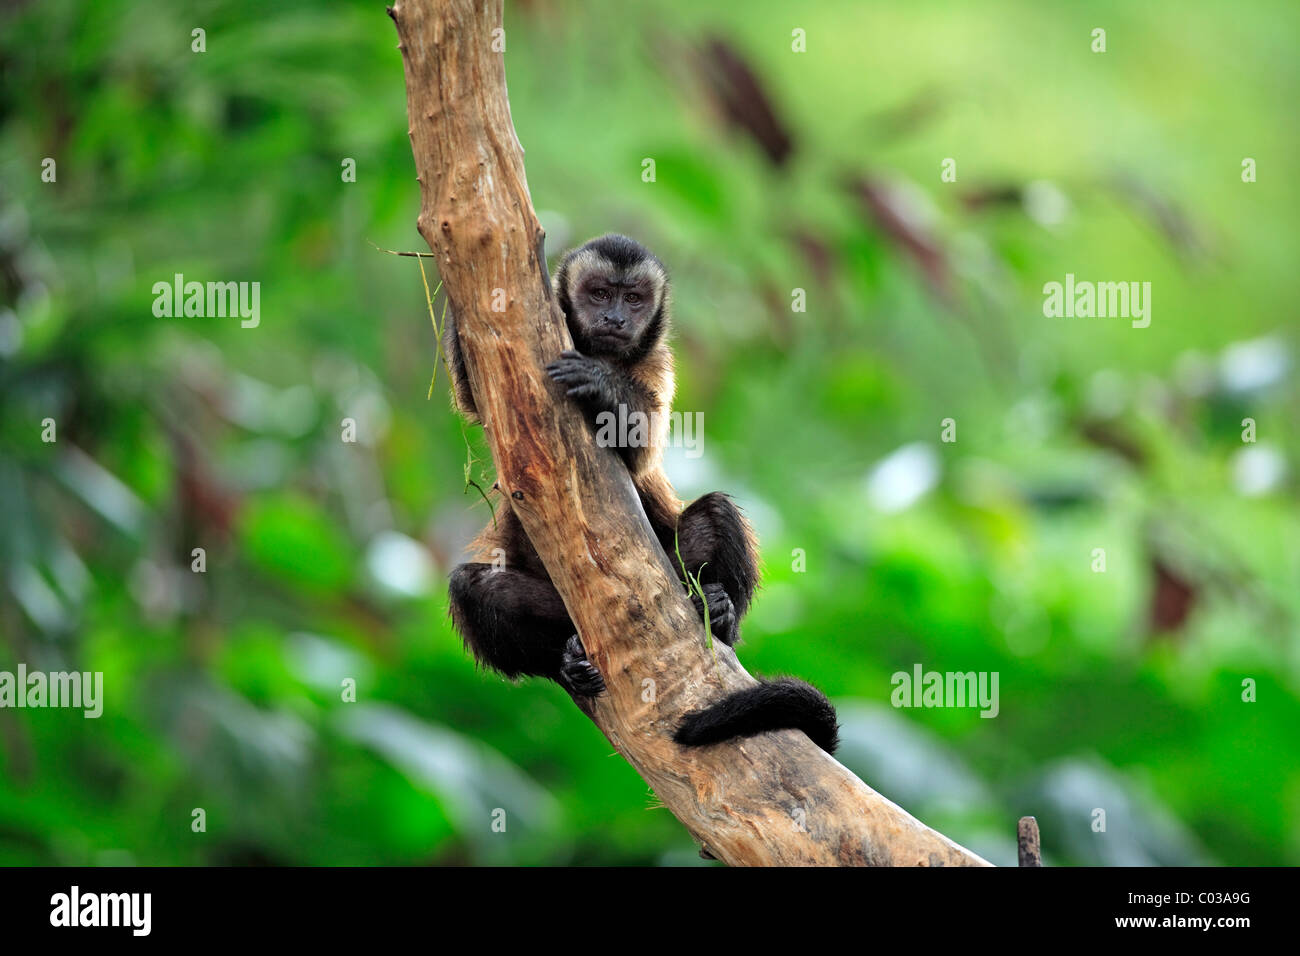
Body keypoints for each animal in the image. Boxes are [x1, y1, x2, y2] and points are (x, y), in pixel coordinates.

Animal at [441, 234, 837, 754]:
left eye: (633, 299)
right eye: (599, 294)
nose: (615, 319)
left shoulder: (658, 360)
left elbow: (642, 449)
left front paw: (603, 384)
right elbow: (476, 400)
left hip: (672, 572)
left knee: (715, 512)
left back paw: (720, 613)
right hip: (564, 611)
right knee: (471, 587)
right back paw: (569, 664)